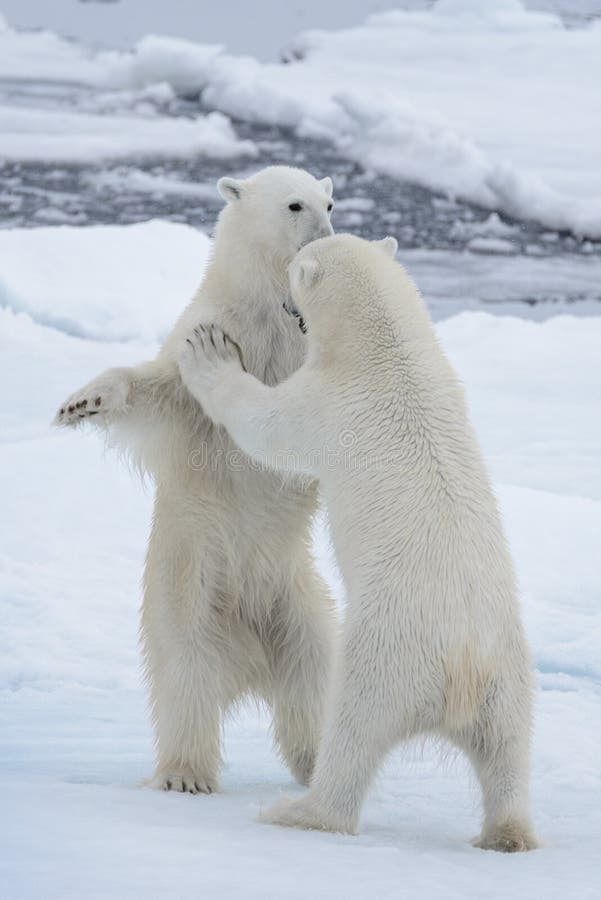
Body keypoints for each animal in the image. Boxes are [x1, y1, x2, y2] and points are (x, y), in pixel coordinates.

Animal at [55, 166, 337, 794]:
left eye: (331, 203)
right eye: (295, 205)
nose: (327, 238)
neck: (266, 314)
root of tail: (250, 663)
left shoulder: (300, 347)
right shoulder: (202, 340)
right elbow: (154, 389)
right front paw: (81, 401)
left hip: (299, 598)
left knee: (312, 673)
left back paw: (315, 762)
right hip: (189, 586)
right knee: (187, 673)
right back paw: (185, 773)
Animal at [176, 232, 539, 851]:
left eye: (295, 273)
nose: (285, 297)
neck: (392, 354)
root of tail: (463, 669)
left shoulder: (328, 405)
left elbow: (266, 427)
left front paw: (208, 352)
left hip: (385, 658)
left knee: (351, 732)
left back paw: (301, 809)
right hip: (510, 680)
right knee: (508, 755)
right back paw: (508, 832)